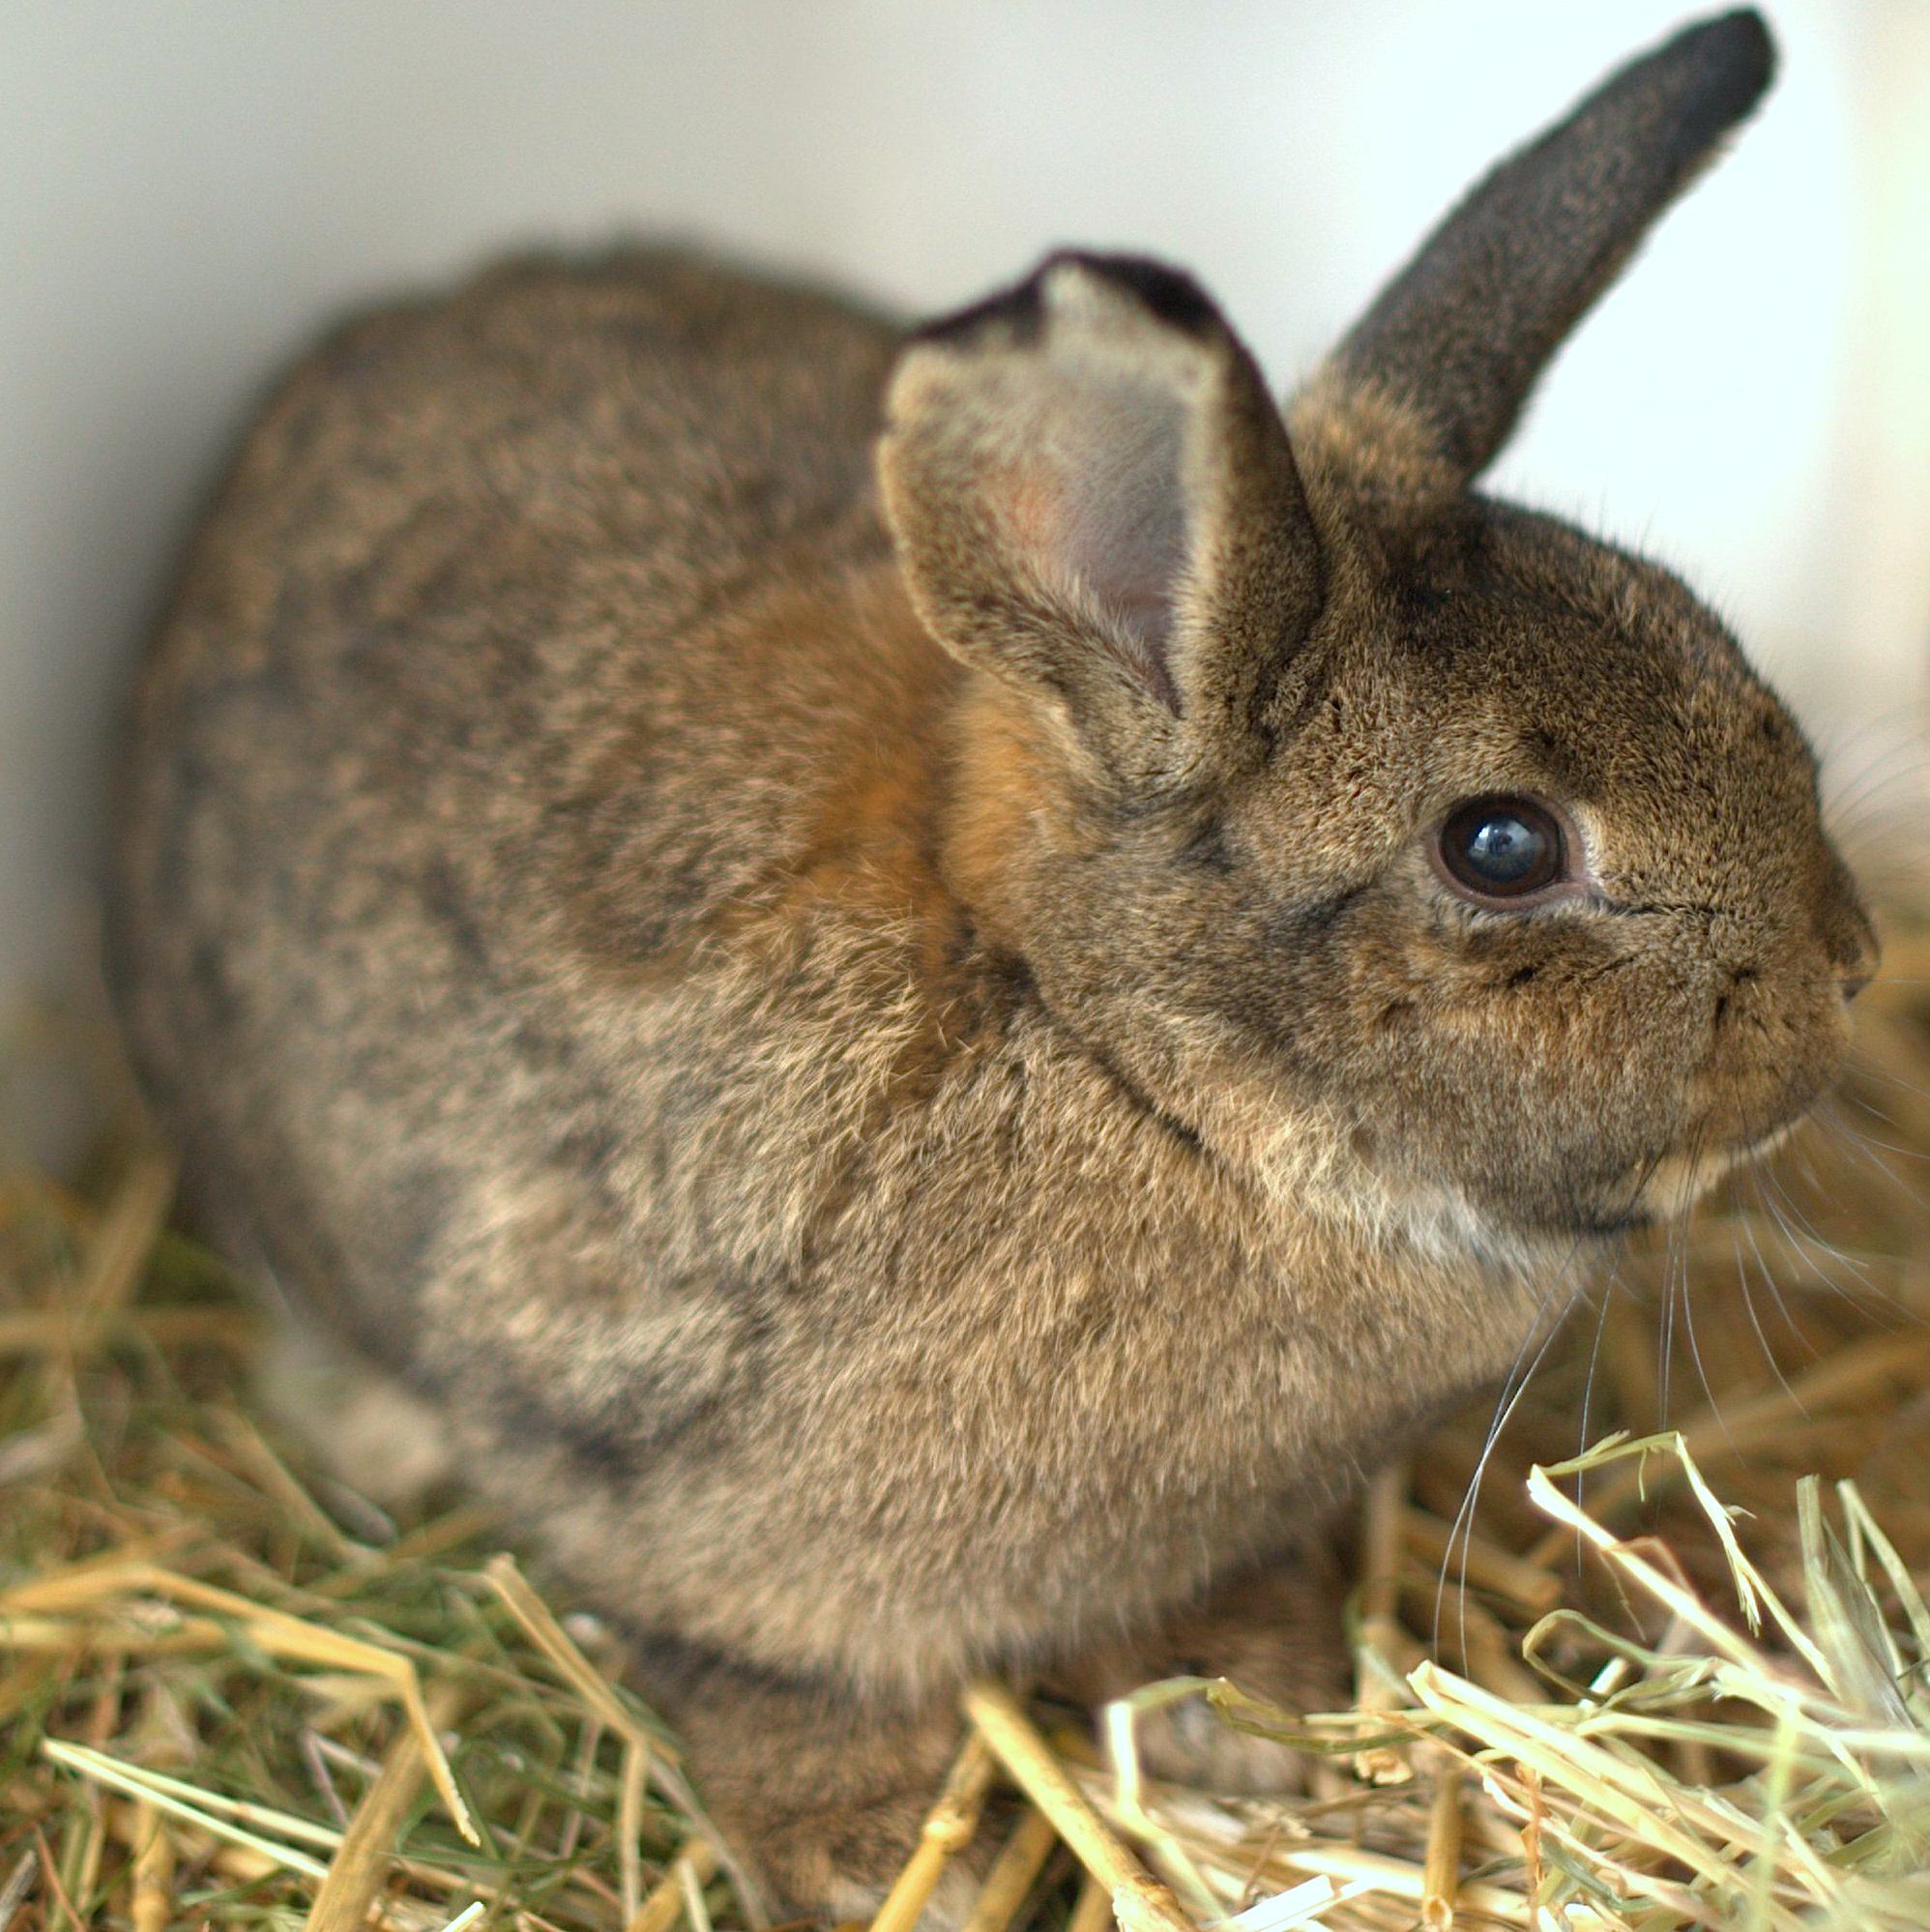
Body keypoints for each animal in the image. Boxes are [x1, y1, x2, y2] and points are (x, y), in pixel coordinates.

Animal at [107, 9, 1876, 1921]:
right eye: (1503, 847)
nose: (1846, 975)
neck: (1107, 1047)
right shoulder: (610, 1420)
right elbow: (742, 1658)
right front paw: (890, 1853)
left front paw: (1245, 1708)